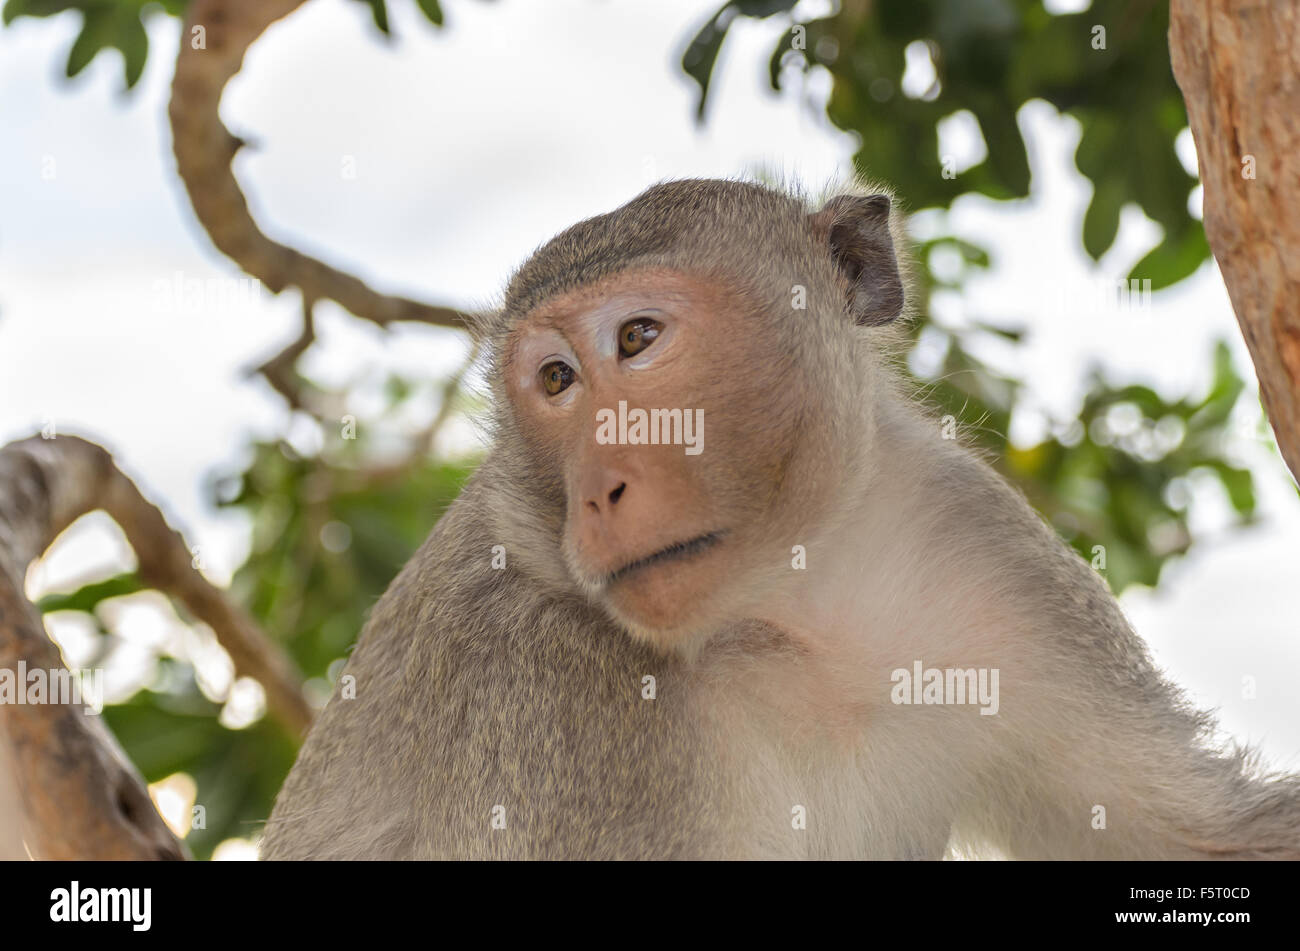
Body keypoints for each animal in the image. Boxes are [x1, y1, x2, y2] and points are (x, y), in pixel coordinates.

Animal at [260, 178, 1300, 860]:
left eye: (637, 337)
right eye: (555, 381)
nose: (597, 489)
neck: (790, 611)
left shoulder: (989, 553)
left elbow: (1192, 837)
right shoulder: (554, 693)